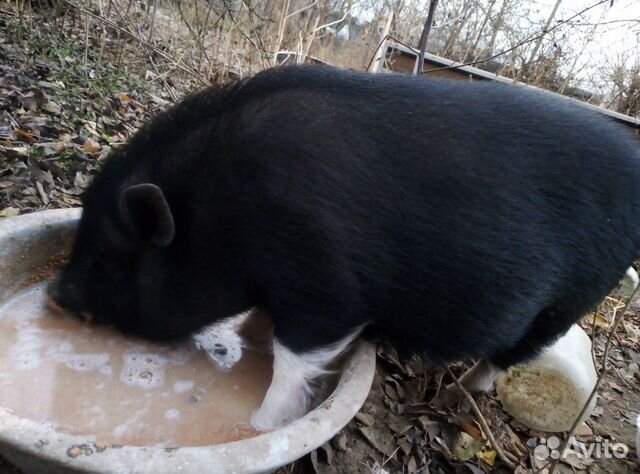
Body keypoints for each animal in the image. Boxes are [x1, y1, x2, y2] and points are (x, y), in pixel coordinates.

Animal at [48, 64, 640, 430]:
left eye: (111, 258)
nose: (54, 294)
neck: (223, 213)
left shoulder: (327, 291)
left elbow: (292, 363)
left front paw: (257, 426)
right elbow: (260, 327)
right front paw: (247, 341)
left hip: (565, 304)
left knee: (509, 357)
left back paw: (456, 393)